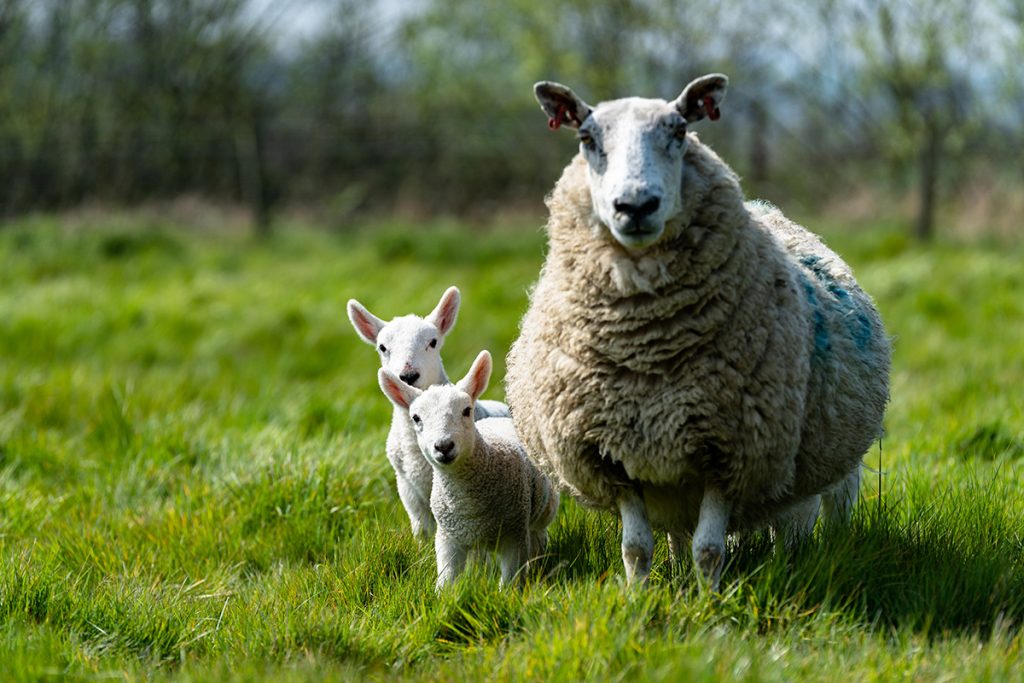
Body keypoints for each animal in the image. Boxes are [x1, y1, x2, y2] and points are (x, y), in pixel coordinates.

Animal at [378, 351, 559, 590]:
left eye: (466, 410)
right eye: (416, 418)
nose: (444, 446)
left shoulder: (515, 535)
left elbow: (510, 582)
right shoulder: (447, 539)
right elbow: (446, 581)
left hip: (541, 515)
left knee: (538, 540)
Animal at [504, 74, 890, 588]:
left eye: (680, 131)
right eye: (586, 138)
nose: (635, 206)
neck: (645, 348)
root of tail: (767, 208)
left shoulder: (732, 453)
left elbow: (709, 549)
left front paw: (710, 599)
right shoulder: (609, 455)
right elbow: (635, 547)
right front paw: (639, 596)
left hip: (826, 446)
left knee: (821, 507)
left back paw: (815, 554)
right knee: (687, 530)